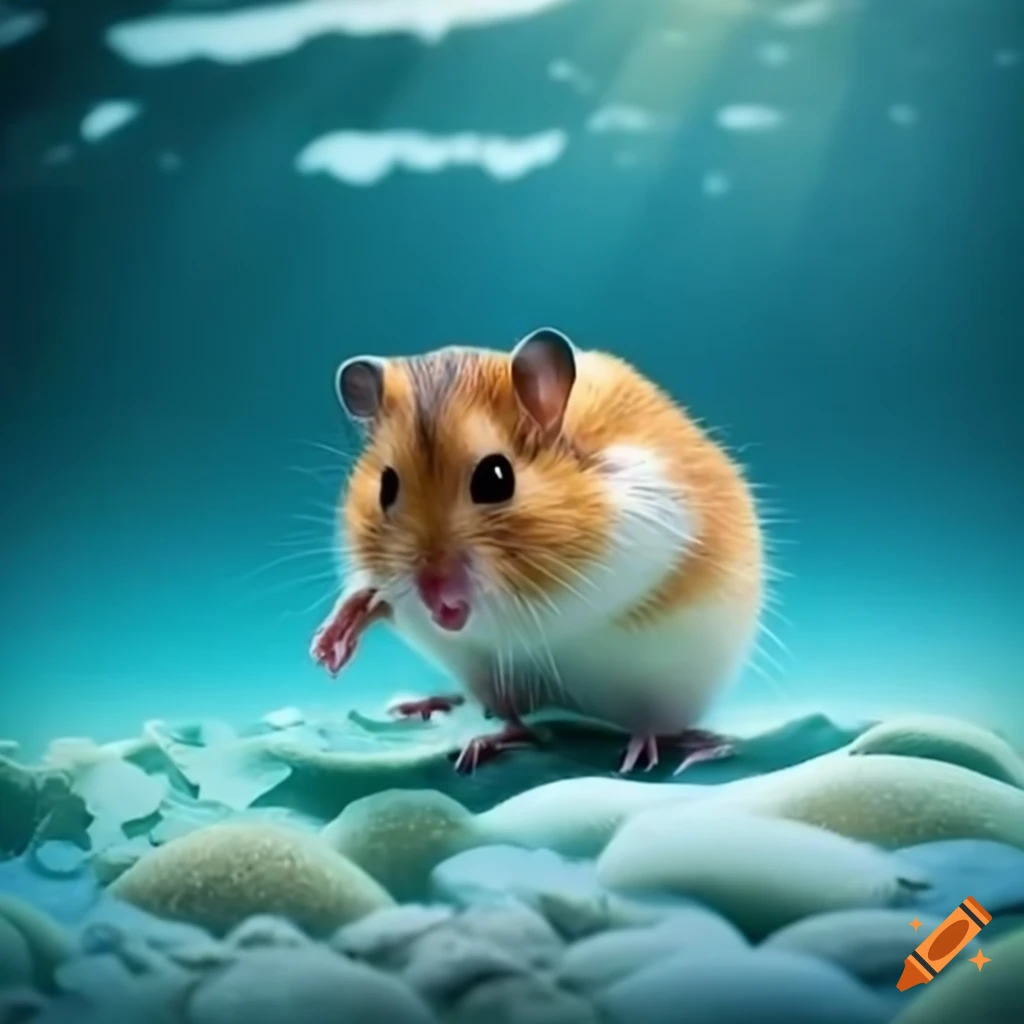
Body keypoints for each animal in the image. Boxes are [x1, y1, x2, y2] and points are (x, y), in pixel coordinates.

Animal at [311, 327, 764, 775]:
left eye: (496, 478)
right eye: (386, 487)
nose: (433, 591)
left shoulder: (620, 550)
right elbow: (375, 591)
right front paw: (328, 648)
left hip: (668, 690)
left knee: (661, 729)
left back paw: (656, 752)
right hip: (489, 683)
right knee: (516, 724)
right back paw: (452, 727)